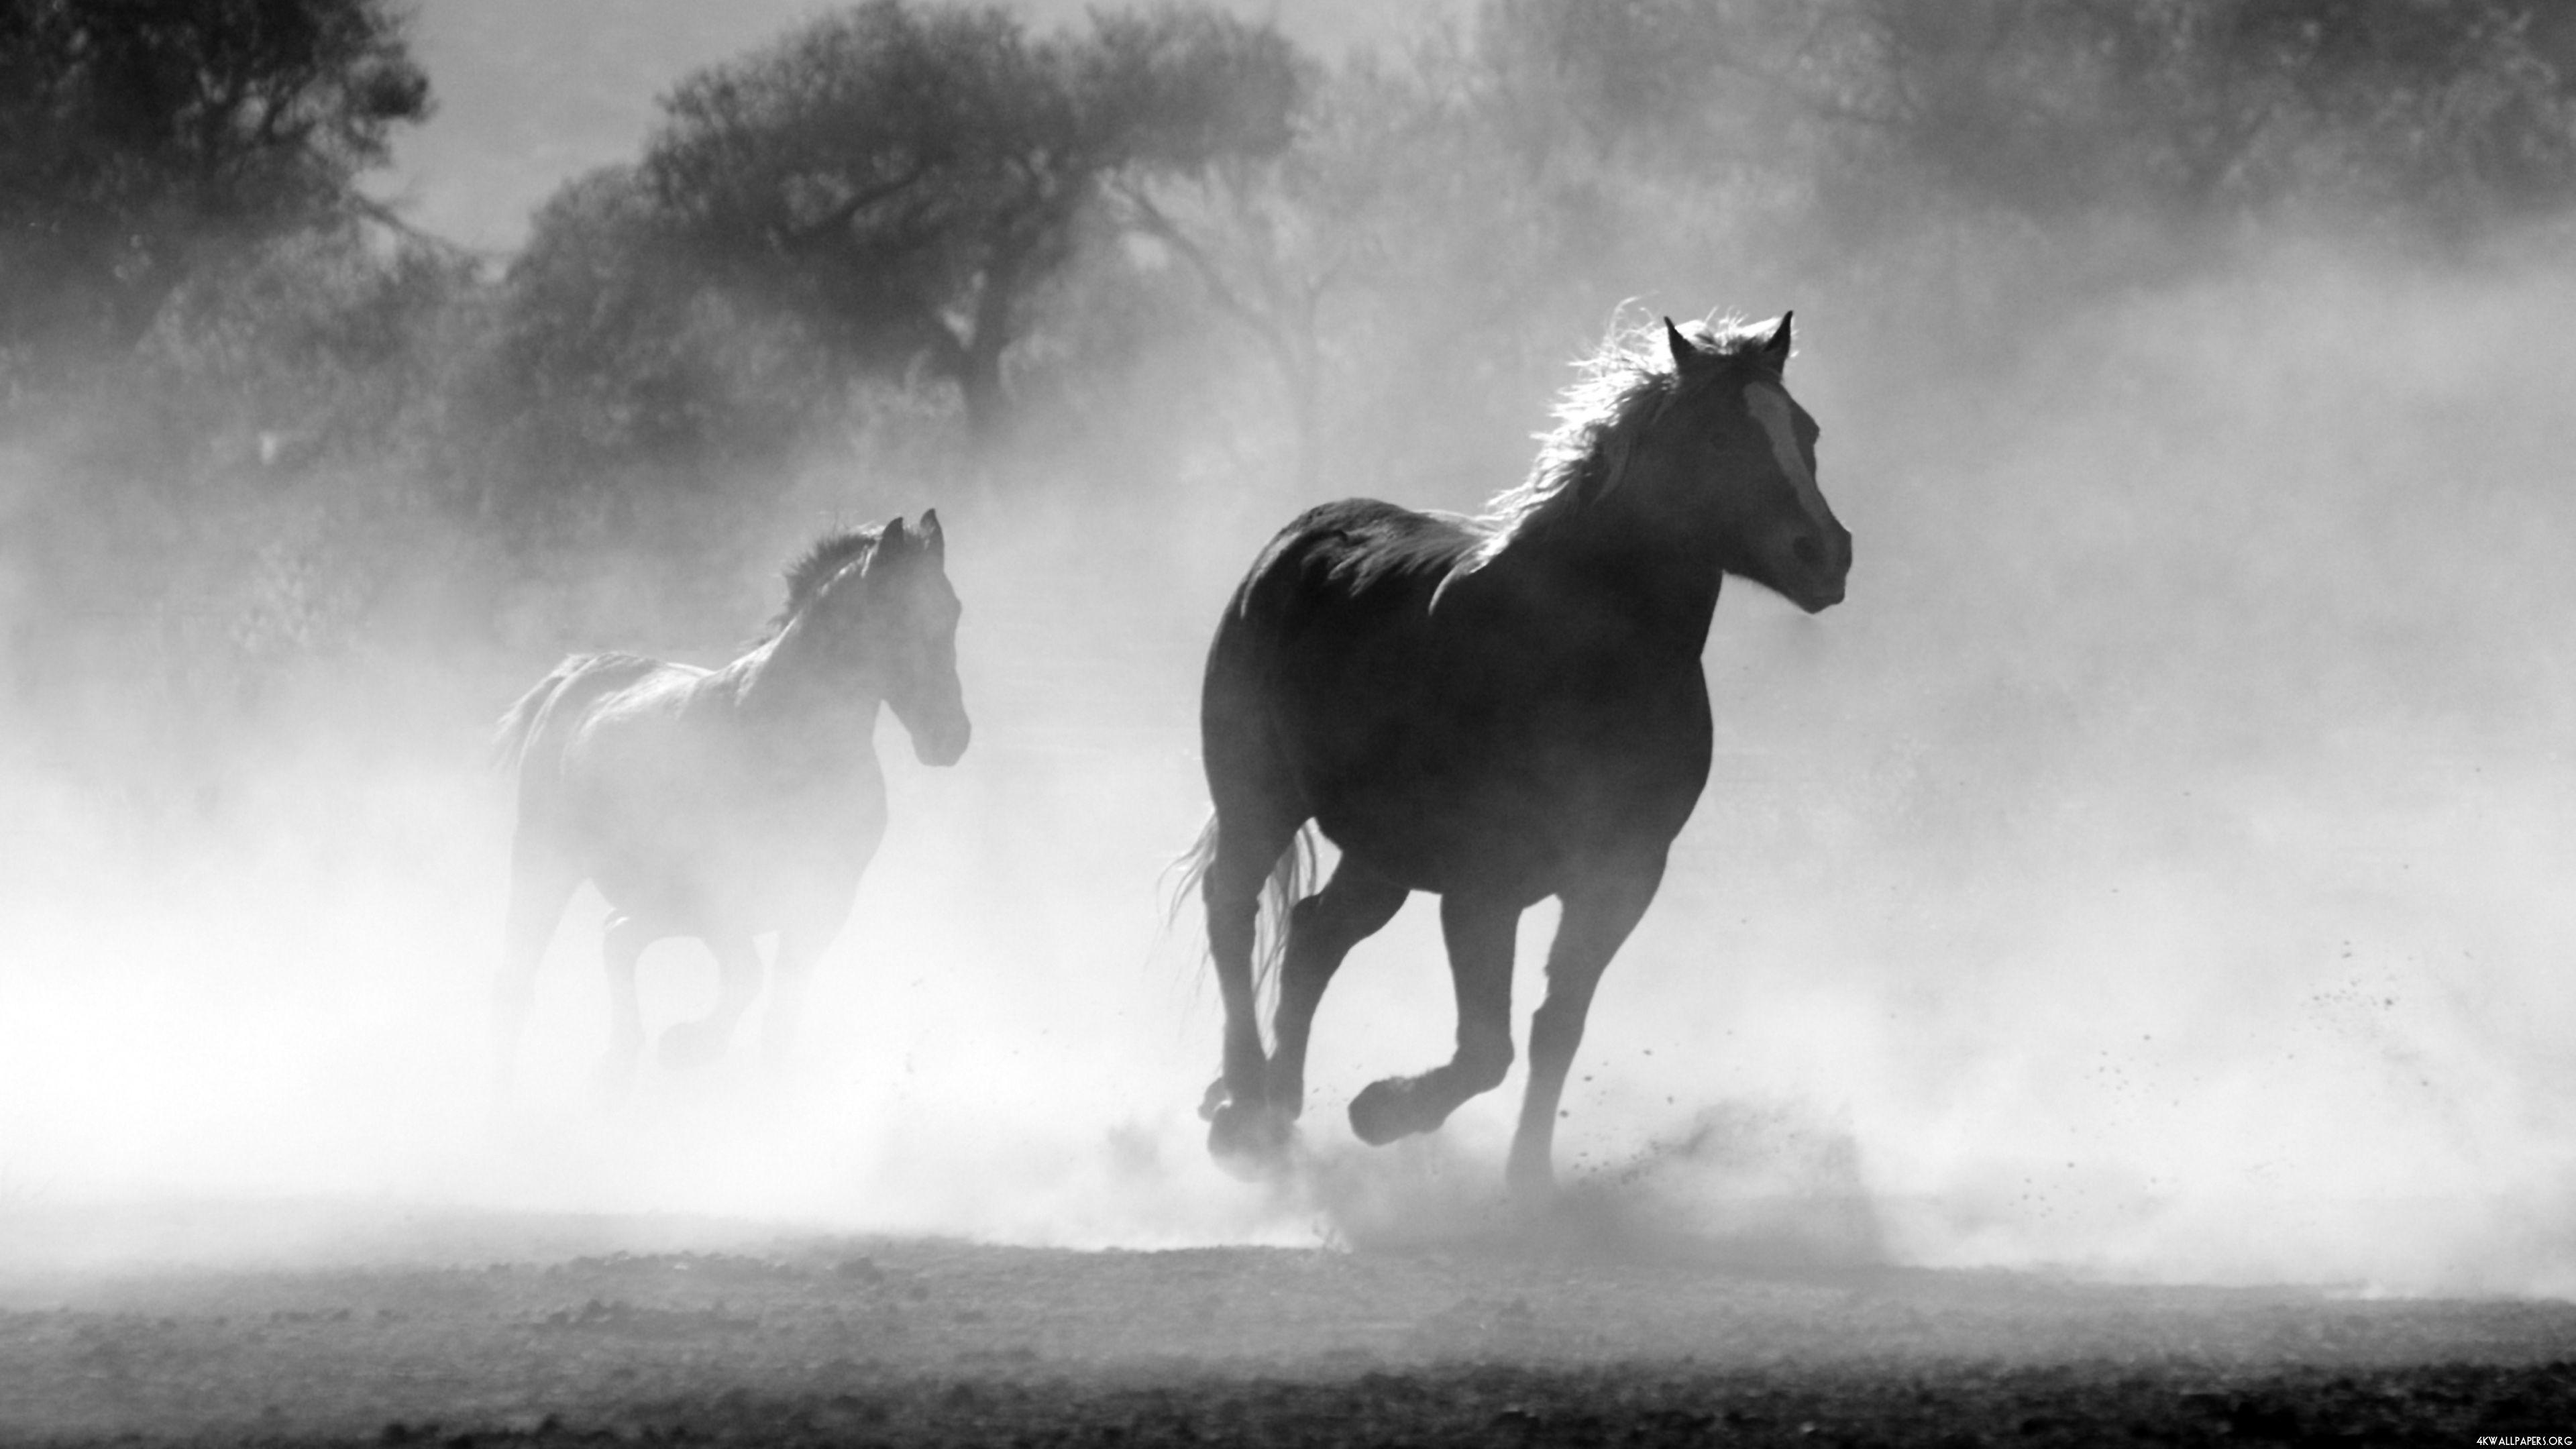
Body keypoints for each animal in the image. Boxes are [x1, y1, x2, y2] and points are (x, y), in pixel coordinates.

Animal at [491, 511, 969, 1095]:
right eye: (896, 615)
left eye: (952, 610)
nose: (950, 738)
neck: (788, 742)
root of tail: (574, 677)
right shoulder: (719, 898)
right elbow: (747, 977)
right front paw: (687, 1046)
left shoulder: (822, 905)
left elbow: (779, 1019)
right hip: (546, 862)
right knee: (520, 978)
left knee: (616, 938)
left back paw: (616, 1068)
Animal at [1182, 312, 1849, 1196]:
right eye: (1717, 437)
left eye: (1805, 432)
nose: (1827, 554)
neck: (1580, 658)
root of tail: (1296, 542)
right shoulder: (1483, 887)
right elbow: (1486, 1049)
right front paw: (1383, 1110)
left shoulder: (1621, 877)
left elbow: (1554, 1028)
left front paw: (1527, 1181)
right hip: (1258, 799)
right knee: (1232, 913)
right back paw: (1246, 1109)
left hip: (1382, 855)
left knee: (1314, 933)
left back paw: (1280, 1109)